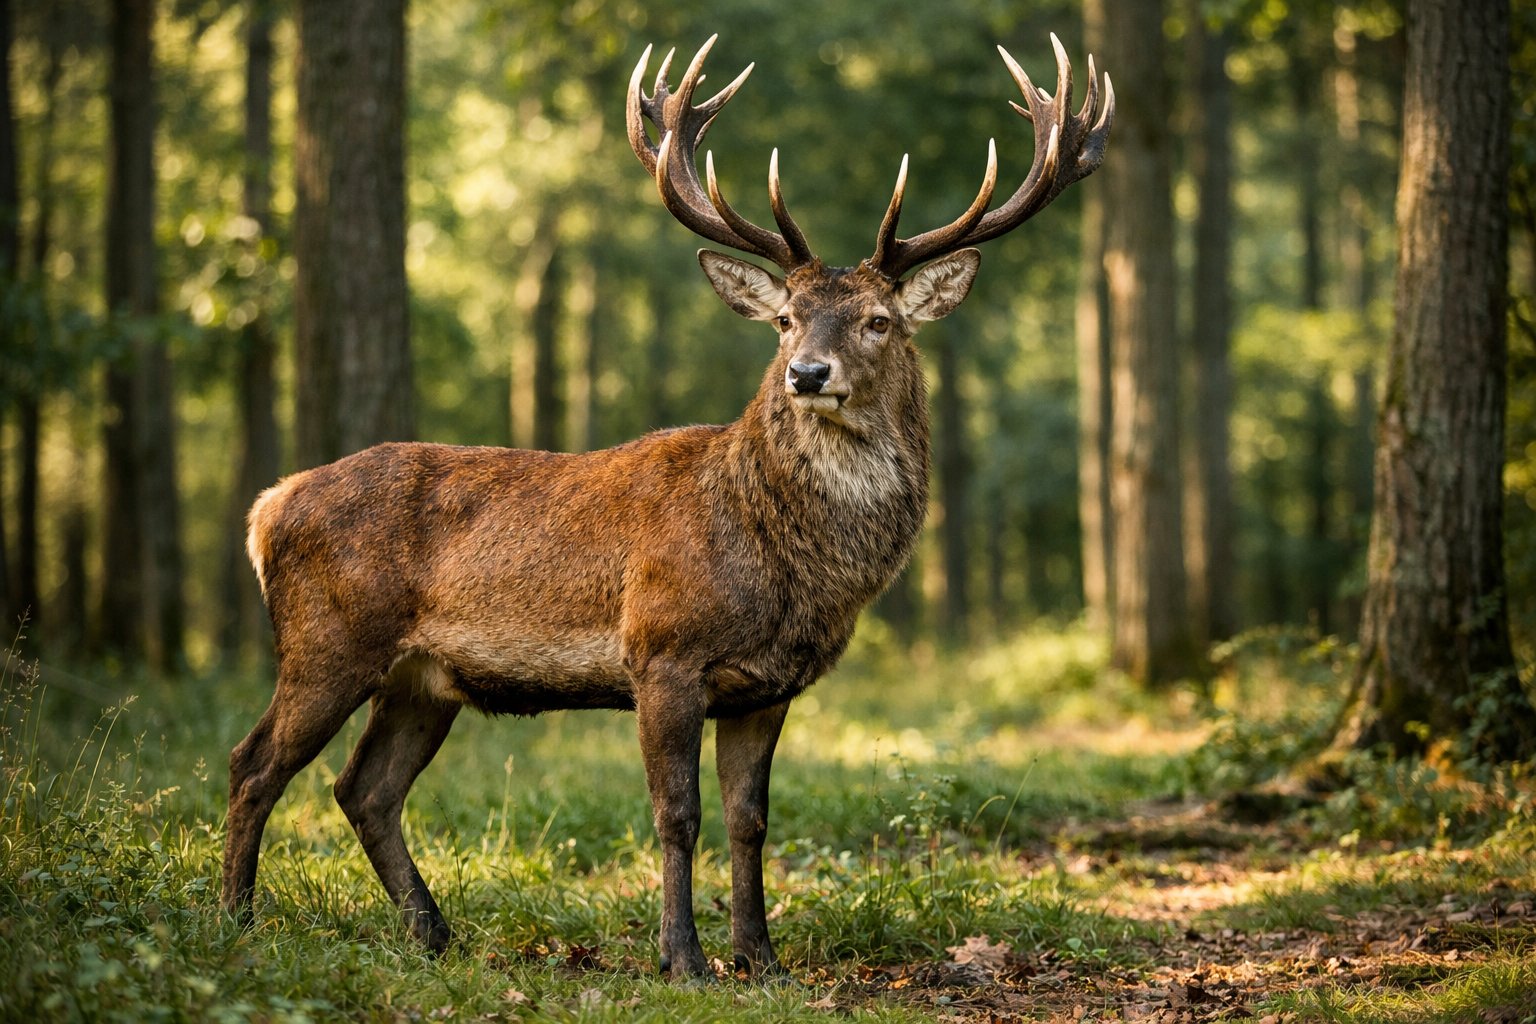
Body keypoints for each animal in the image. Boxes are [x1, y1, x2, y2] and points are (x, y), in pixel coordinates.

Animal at [221, 33, 1112, 980]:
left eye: (878, 320)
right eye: (786, 319)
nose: (808, 375)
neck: (785, 560)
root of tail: (268, 508)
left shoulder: (768, 685)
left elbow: (750, 821)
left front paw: (760, 958)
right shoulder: (662, 652)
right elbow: (676, 816)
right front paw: (682, 958)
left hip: (424, 679)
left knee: (365, 786)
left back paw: (431, 932)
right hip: (328, 638)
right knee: (255, 762)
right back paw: (236, 918)